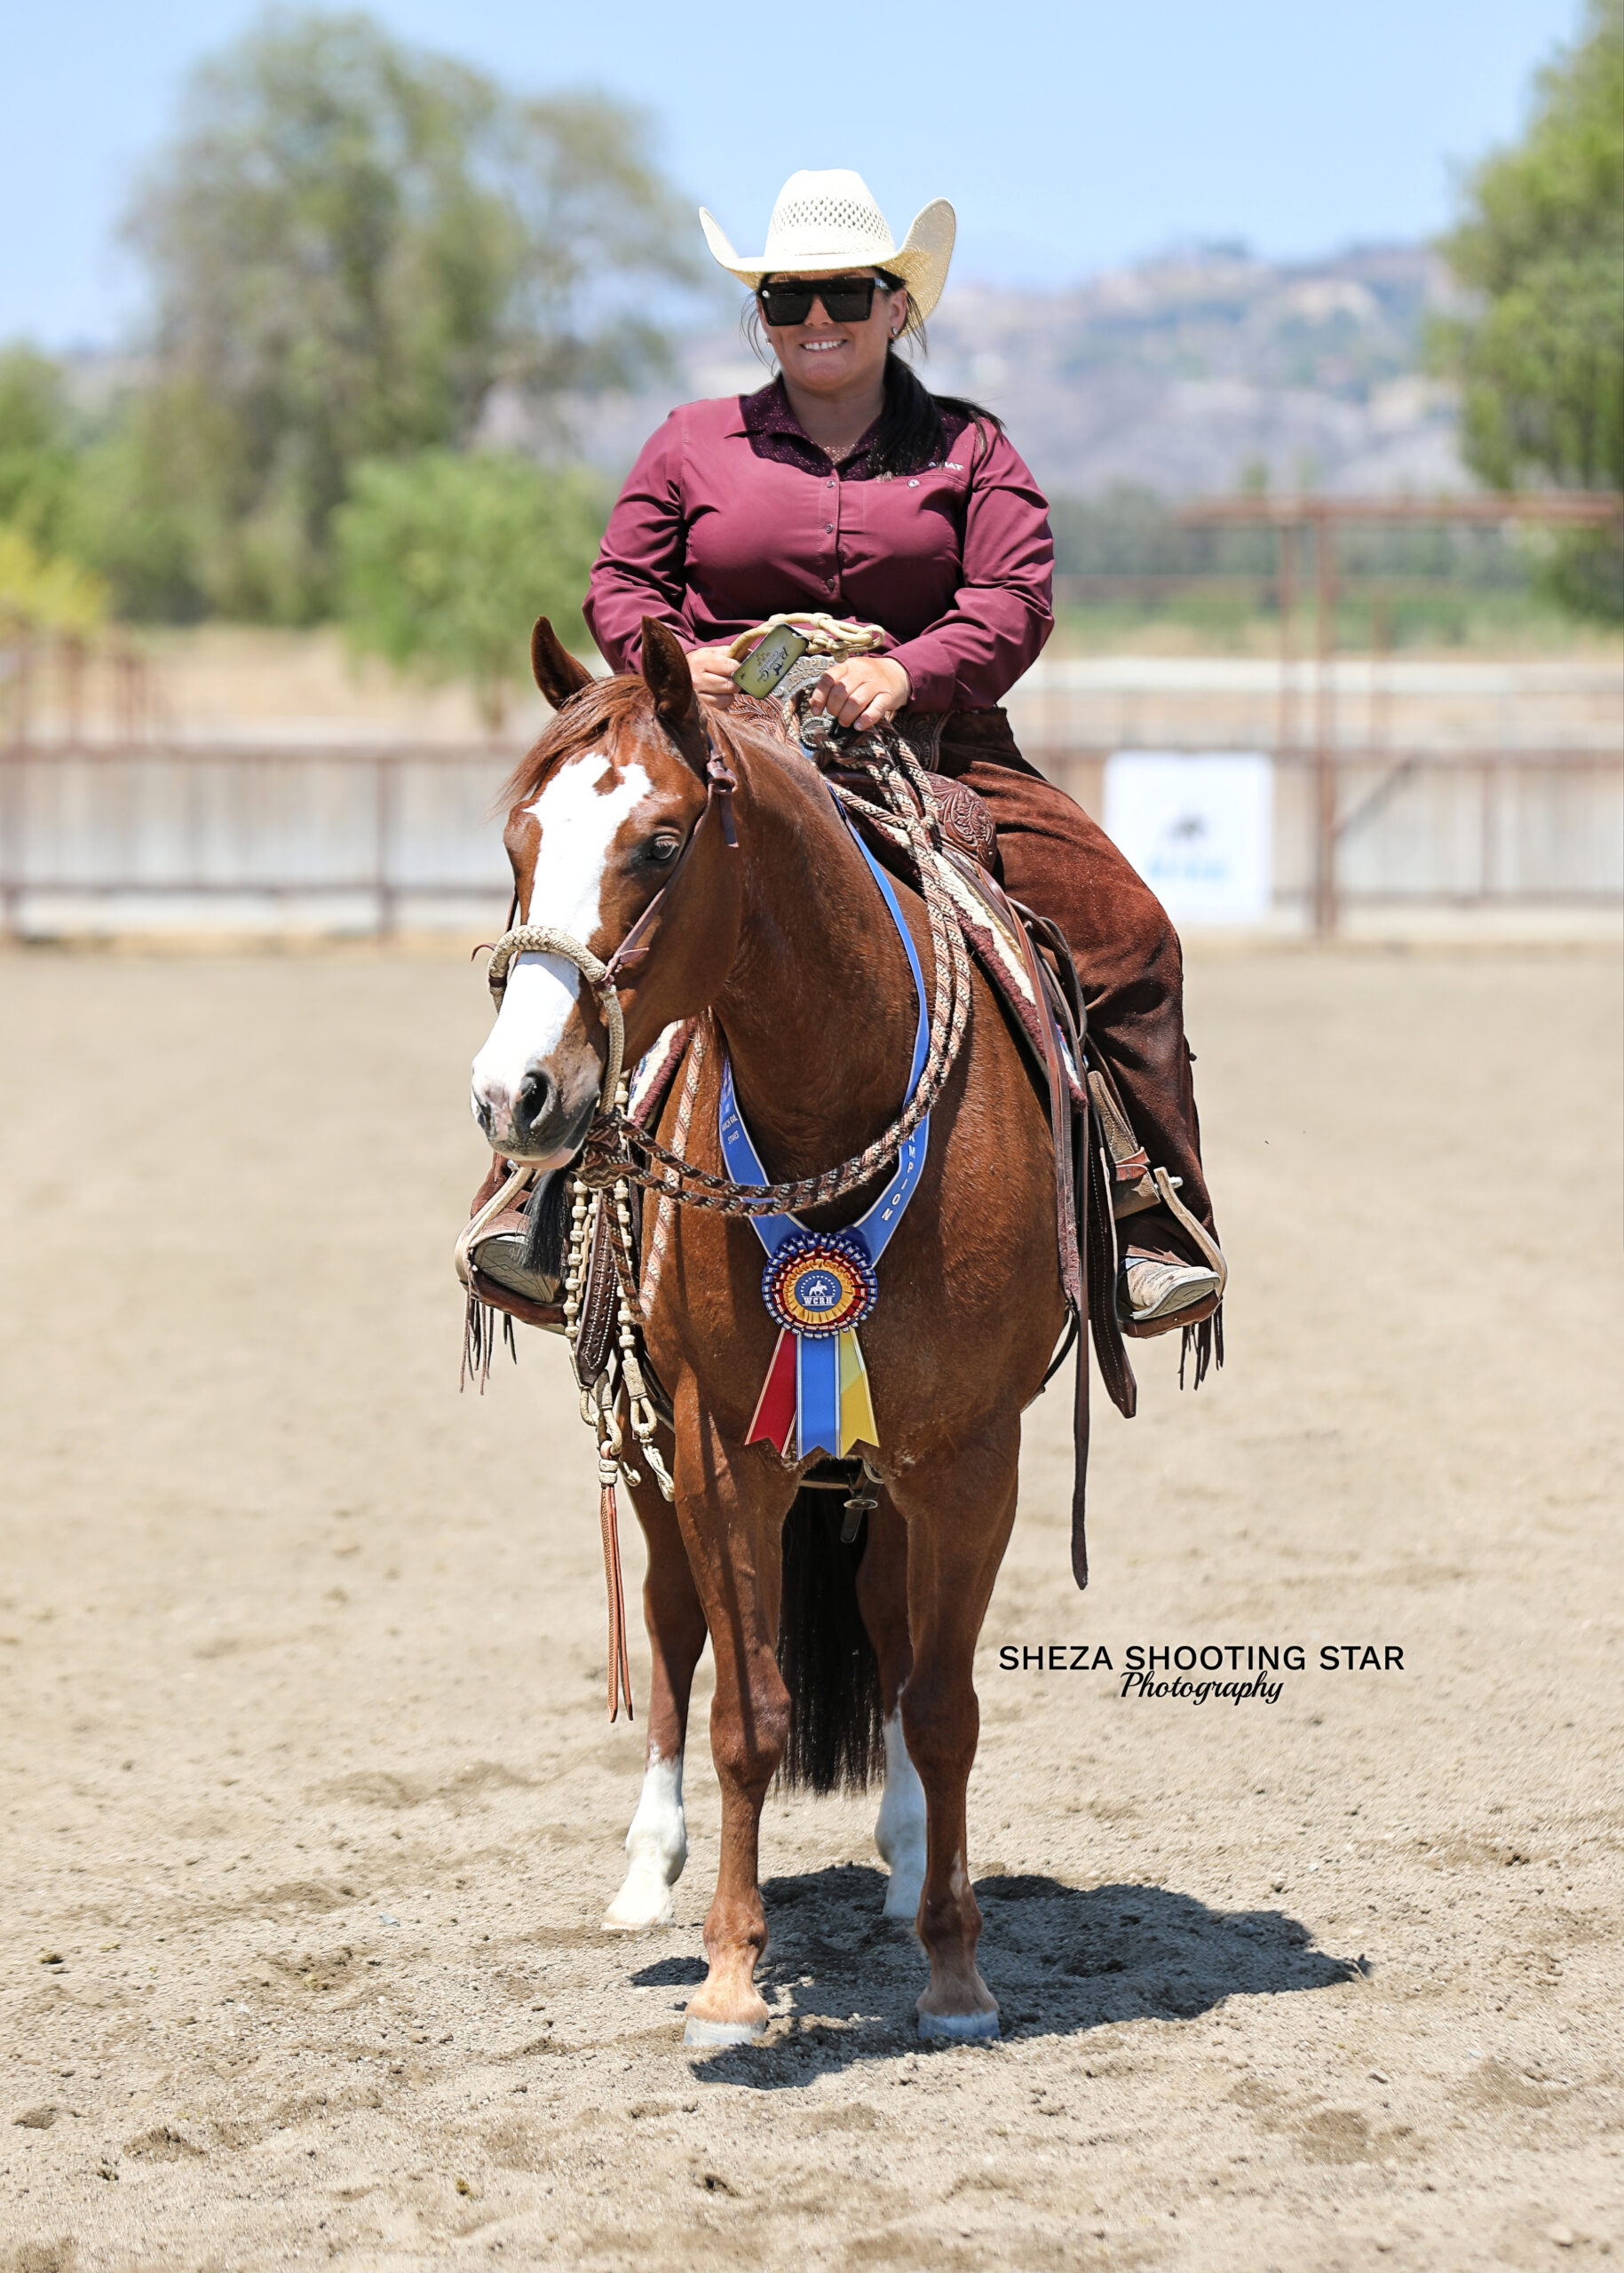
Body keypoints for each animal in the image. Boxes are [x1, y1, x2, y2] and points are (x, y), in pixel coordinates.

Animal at [470, 616, 1068, 2045]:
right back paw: (647, 1872)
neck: (832, 1098)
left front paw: (953, 1968)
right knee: (671, 1625)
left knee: (893, 1631)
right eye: (518, 842)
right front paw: (731, 1976)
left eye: (659, 843)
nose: (514, 1095)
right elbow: (747, 1709)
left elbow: (943, 1704)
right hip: (653, 1451)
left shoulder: (972, 1452)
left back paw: (905, 1860)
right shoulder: (714, 1445)